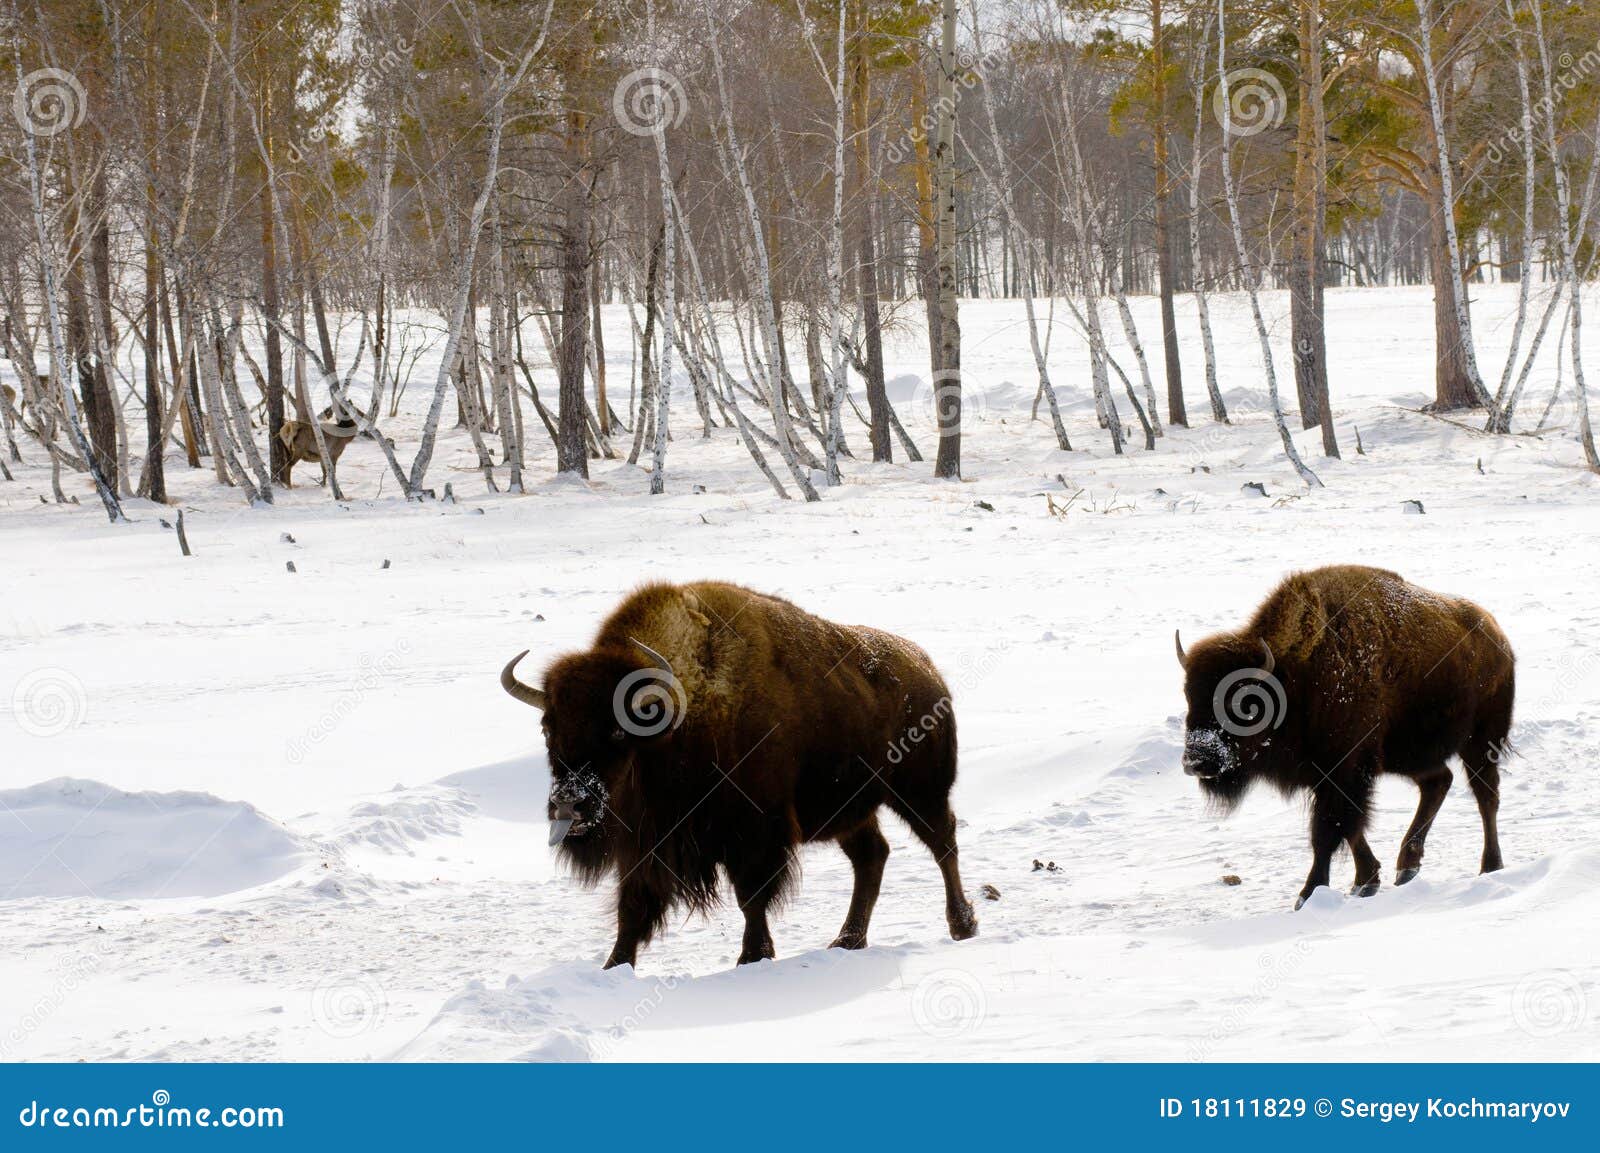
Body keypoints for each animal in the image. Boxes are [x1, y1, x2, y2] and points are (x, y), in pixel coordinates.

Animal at [500, 581, 978, 969]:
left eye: (618, 730)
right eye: (548, 728)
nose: (569, 803)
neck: (675, 721)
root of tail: (928, 671)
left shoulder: (753, 834)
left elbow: (751, 897)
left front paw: (752, 956)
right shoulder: (643, 844)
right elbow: (632, 907)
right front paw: (614, 966)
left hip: (919, 793)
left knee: (942, 843)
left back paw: (962, 926)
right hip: (853, 811)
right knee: (872, 856)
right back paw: (847, 941)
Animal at [1175, 565, 1514, 908]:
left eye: (1243, 702)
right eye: (1189, 695)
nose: (1196, 761)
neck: (1295, 676)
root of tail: (1497, 636)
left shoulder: (1345, 769)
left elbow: (1328, 831)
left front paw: (1309, 893)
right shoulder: (1329, 774)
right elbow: (1349, 825)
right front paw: (1366, 880)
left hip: (1481, 743)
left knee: (1486, 796)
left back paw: (1490, 865)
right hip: (1409, 756)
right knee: (1438, 783)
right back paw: (1407, 867)